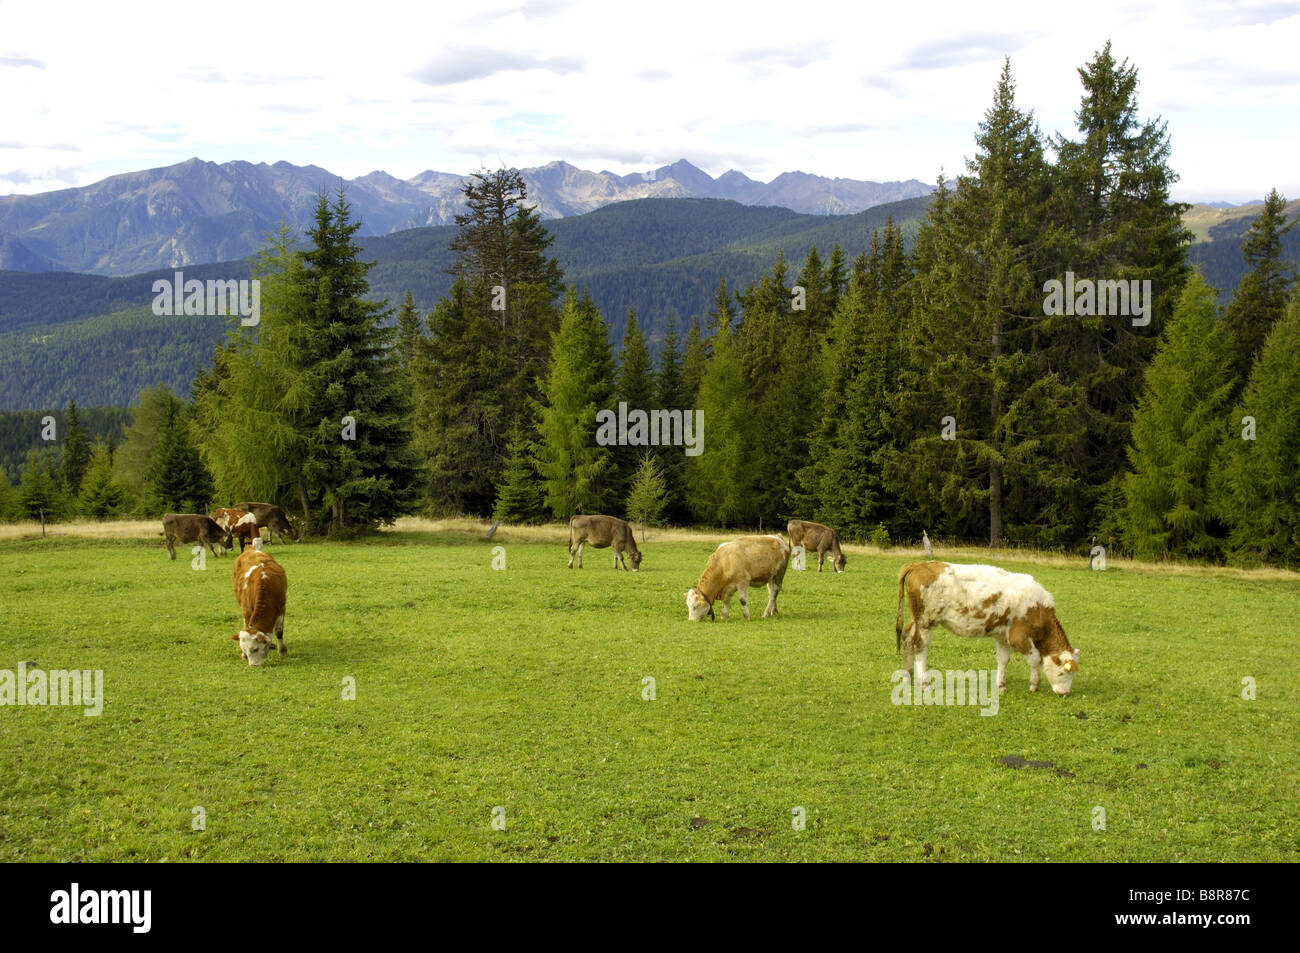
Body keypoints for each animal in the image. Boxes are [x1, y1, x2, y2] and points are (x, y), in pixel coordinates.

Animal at [895, 562, 1081, 696]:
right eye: (1064, 673)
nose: (1065, 693)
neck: (1038, 607)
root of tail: (918, 564)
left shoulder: (1003, 636)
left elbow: (1003, 659)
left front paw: (1002, 686)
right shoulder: (1018, 636)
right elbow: (1035, 659)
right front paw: (1034, 685)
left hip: (916, 620)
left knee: (907, 639)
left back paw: (907, 678)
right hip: (926, 622)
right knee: (920, 647)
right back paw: (924, 684)